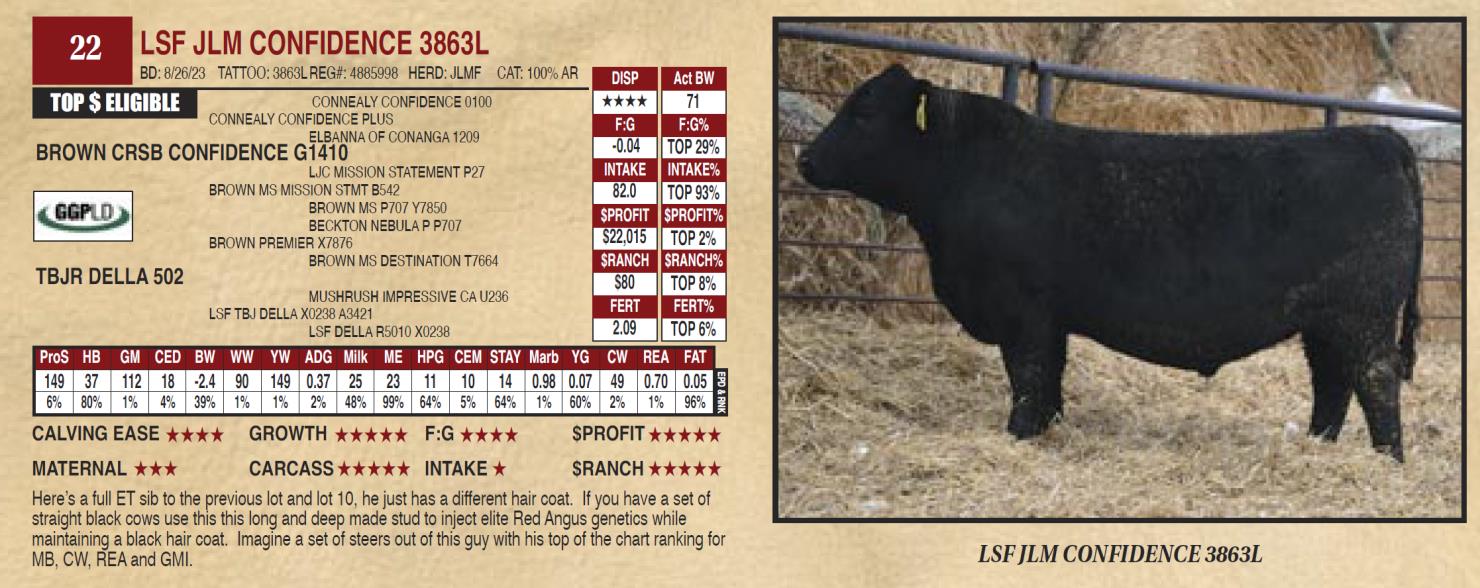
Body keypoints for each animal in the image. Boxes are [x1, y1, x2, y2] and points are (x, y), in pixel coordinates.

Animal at [798, 65, 1423, 461]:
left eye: (864, 112)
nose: (804, 159)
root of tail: (1380, 137)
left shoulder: (1025, 311)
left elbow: (1028, 378)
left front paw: (1018, 437)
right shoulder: (1047, 319)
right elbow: (1049, 381)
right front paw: (1047, 431)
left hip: (1363, 313)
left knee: (1376, 380)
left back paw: (1387, 461)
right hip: (1325, 320)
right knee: (1332, 383)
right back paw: (1319, 448)